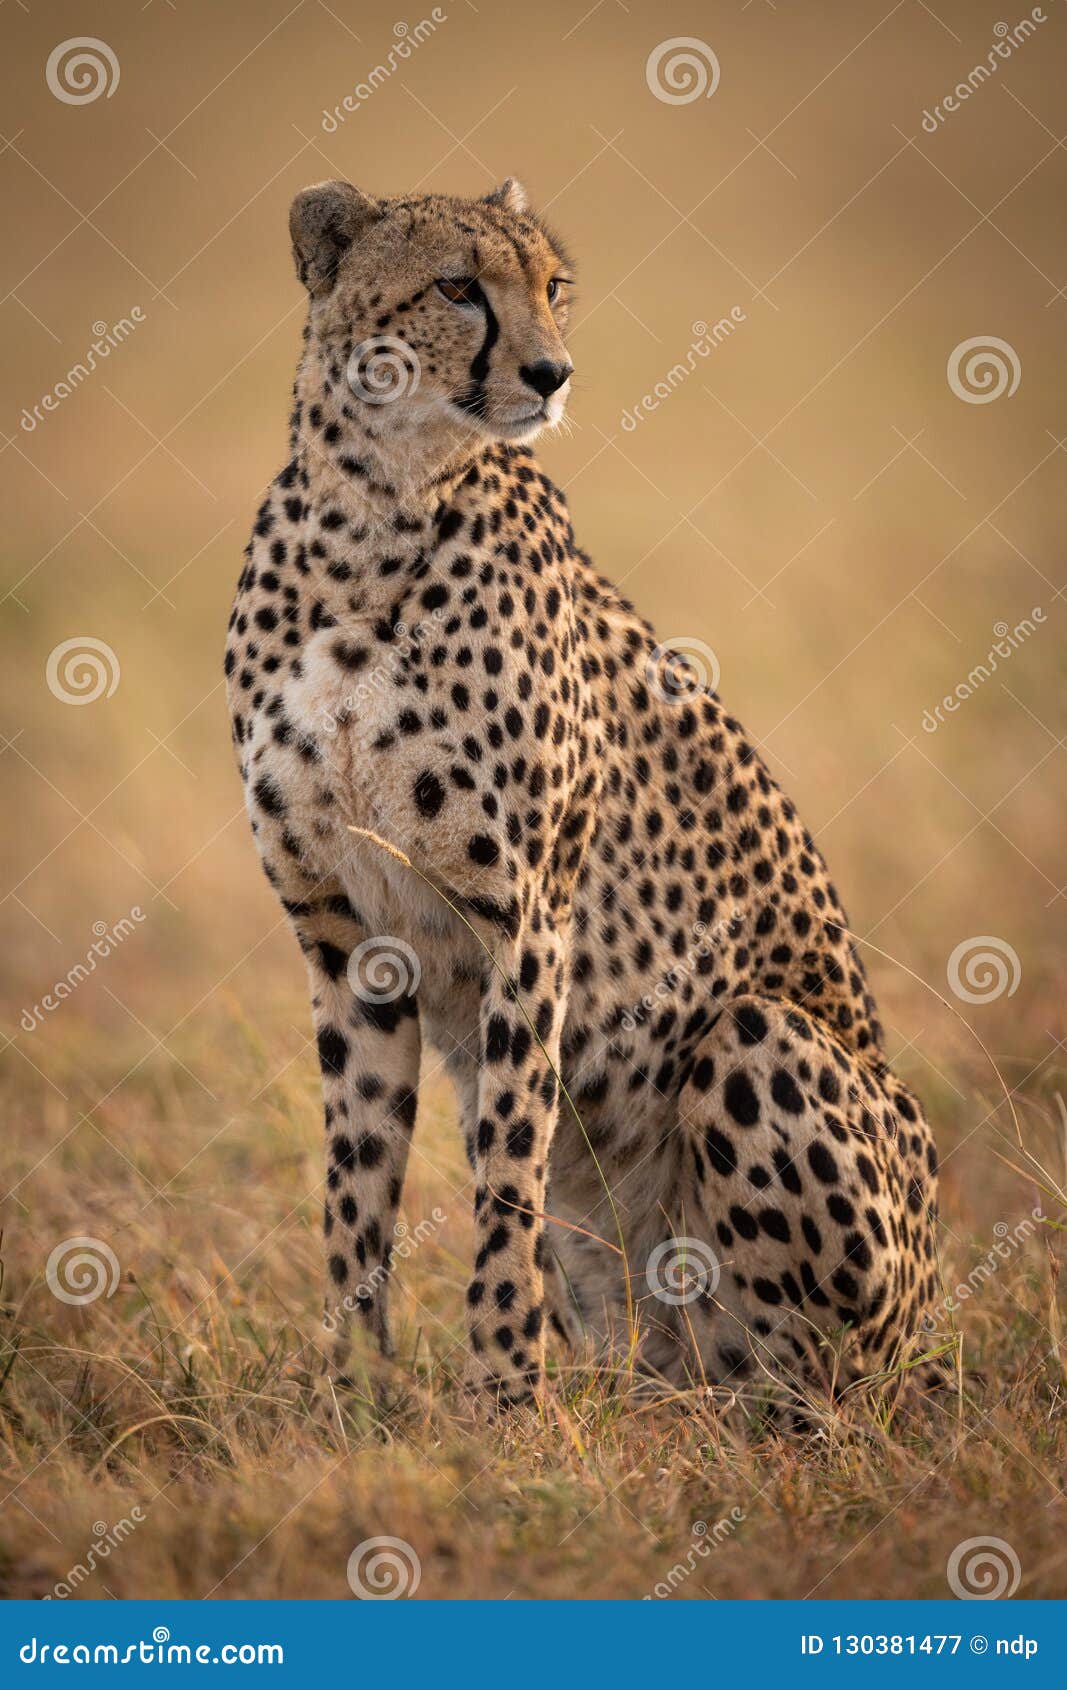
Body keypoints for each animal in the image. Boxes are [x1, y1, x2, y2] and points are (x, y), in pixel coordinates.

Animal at [225, 176, 941, 1413]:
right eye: (456, 286)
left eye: (552, 284)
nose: (552, 372)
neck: (371, 519)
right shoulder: (343, 936)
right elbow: (354, 1184)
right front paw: (351, 1392)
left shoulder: (525, 917)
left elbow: (508, 1169)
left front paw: (502, 1391)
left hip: (759, 1044)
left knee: (809, 1381)